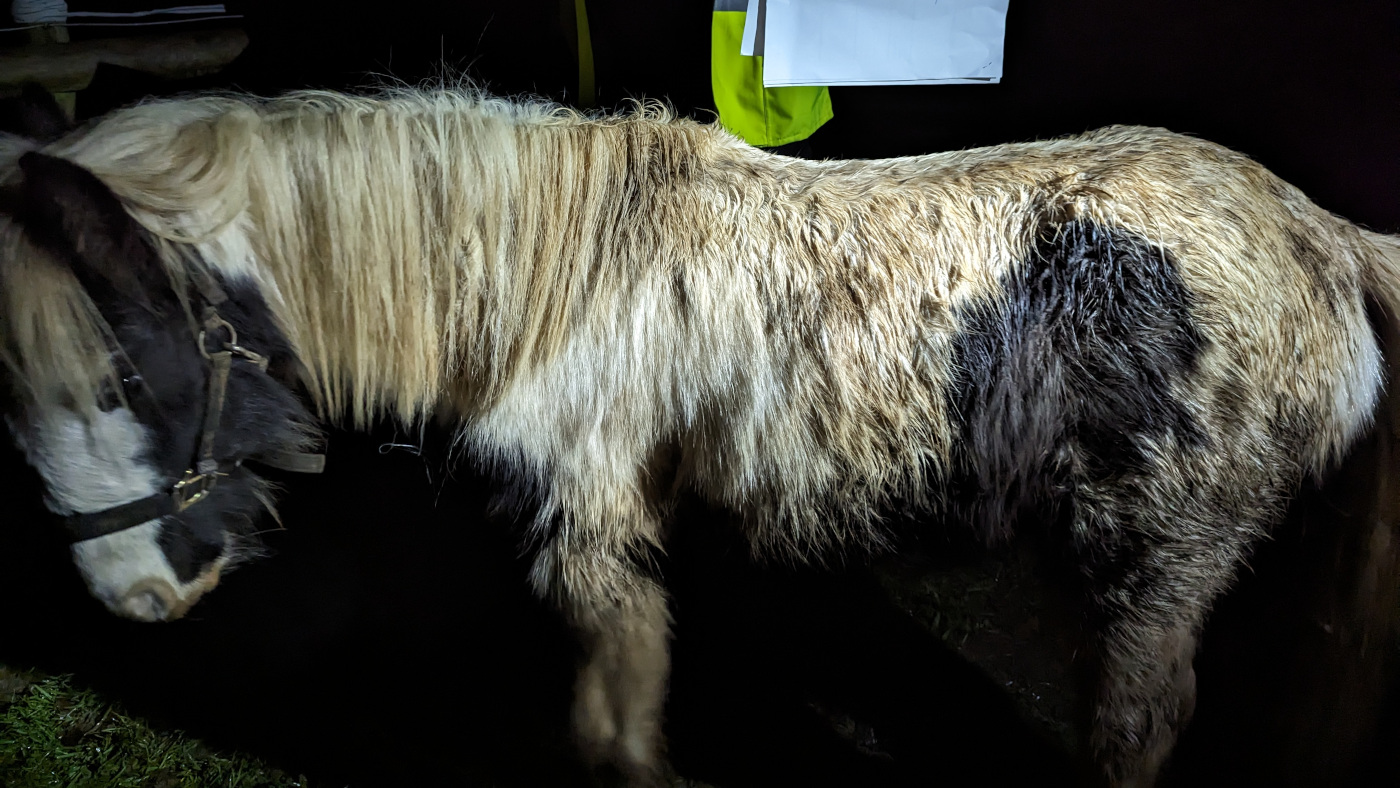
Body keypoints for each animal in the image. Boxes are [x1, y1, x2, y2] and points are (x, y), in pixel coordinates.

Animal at [1, 85, 1397, 787]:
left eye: (122, 372)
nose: (128, 598)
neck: (543, 281)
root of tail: (1321, 235)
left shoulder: (591, 525)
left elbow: (619, 714)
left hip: (1165, 555)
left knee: (1137, 728)